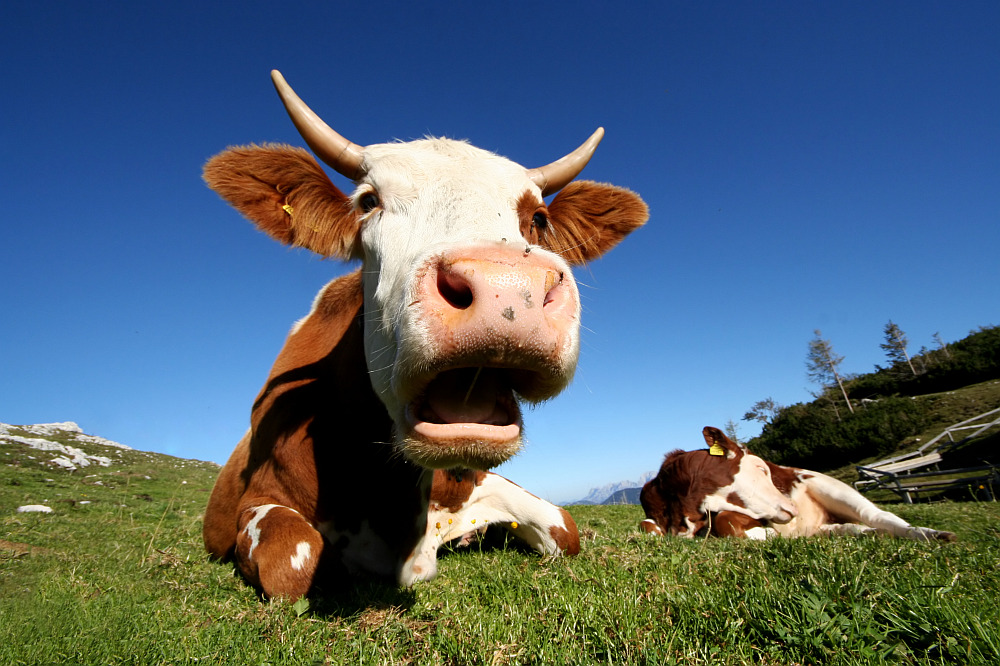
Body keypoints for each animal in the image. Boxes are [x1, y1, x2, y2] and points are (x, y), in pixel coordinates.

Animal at [201, 71, 647, 599]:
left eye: (538, 218)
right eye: (369, 202)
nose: (505, 286)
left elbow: (565, 529)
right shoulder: (259, 500)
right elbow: (299, 560)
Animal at [639, 427, 956, 542]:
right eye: (761, 469)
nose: (791, 505)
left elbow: (725, 521)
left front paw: (764, 535)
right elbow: (645, 526)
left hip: (830, 487)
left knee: (879, 516)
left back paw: (932, 534)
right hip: (824, 523)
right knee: (848, 527)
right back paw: (863, 533)